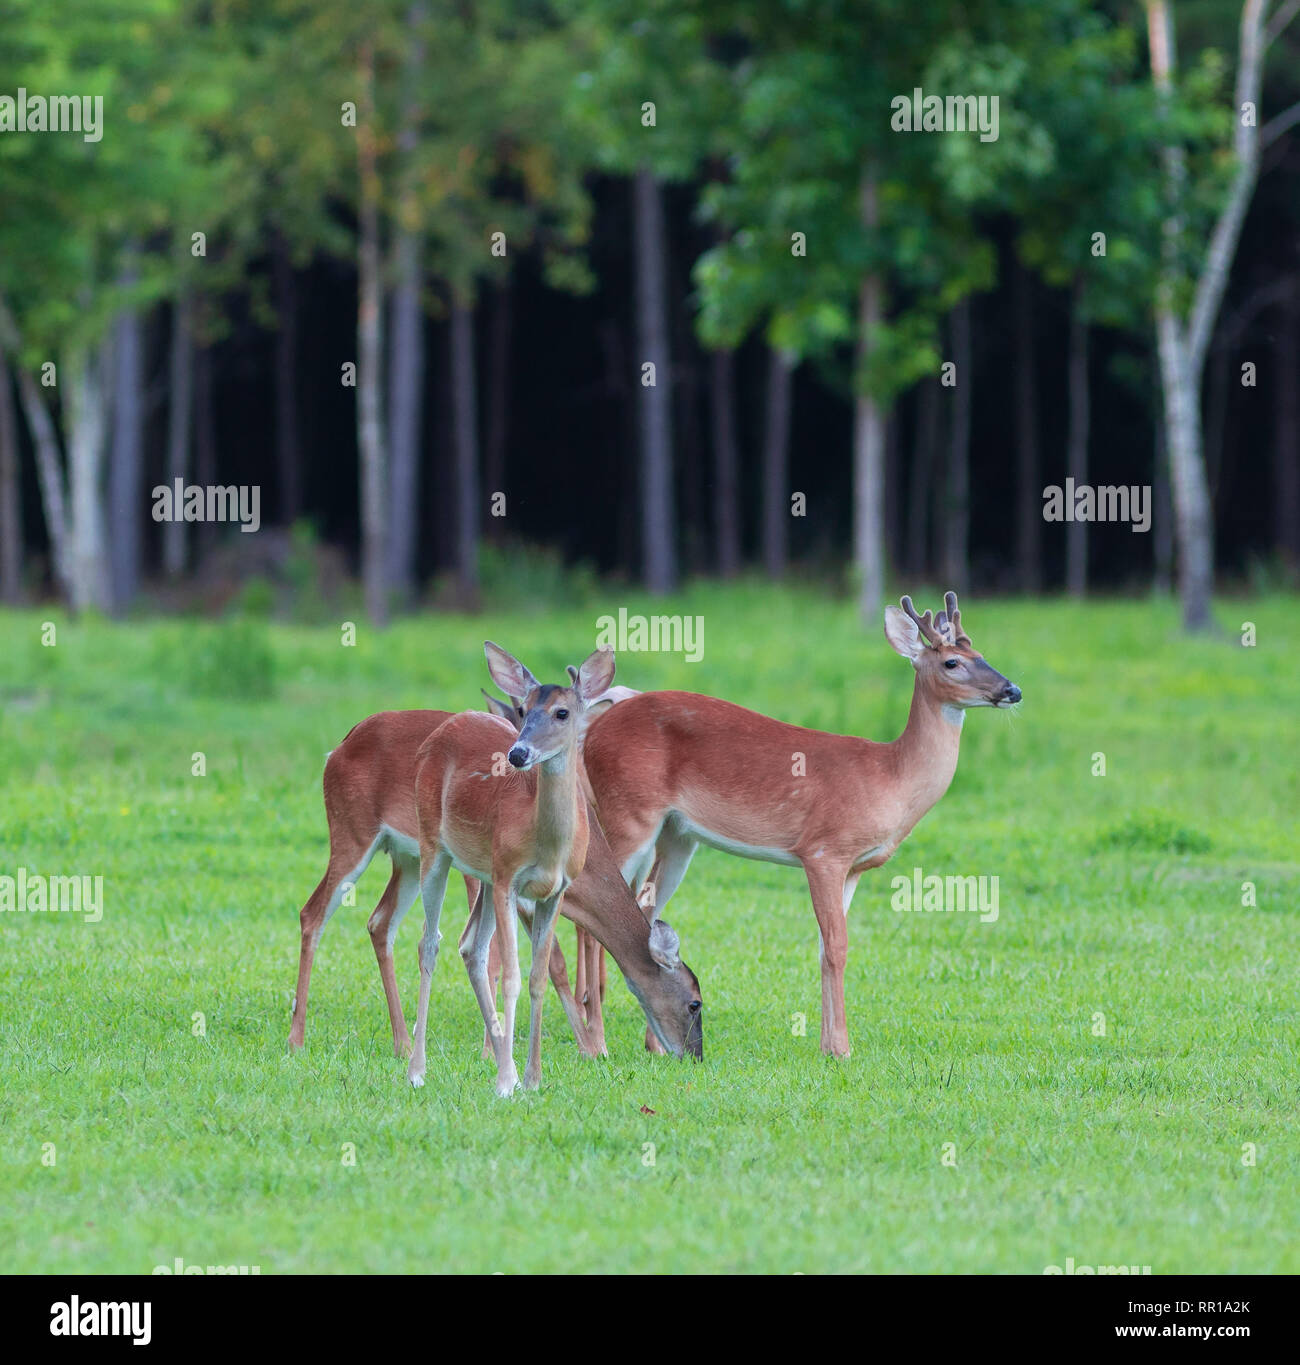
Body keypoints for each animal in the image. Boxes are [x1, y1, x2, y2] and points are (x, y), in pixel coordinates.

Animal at [408, 644, 702, 1095]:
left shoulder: (551, 891)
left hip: (484, 872)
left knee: (471, 947)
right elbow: (522, 974)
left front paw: (531, 1078)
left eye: (562, 712)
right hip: (434, 849)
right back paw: (417, 1070)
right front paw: (515, 1077)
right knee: (430, 943)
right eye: (694, 1003)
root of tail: (443, 729)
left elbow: (538, 976)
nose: (696, 1054)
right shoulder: (512, 883)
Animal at [580, 591, 1020, 1058]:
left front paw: (828, 1046)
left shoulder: (853, 868)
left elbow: (826, 948)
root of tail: (594, 730)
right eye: (952, 662)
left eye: (981, 654)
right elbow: (839, 946)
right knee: (589, 913)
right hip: (627, 813)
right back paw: (596, 1042)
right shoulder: (824, 850)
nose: (1013, 690)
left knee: (645, 912)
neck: (890, 777)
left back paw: (655, 1046)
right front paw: (842, 1049)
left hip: (677, 835)